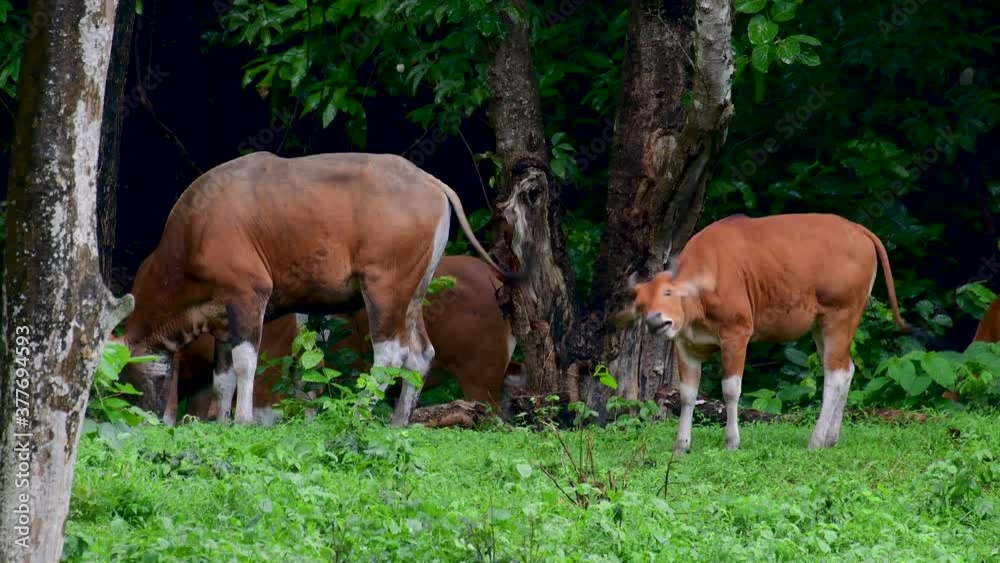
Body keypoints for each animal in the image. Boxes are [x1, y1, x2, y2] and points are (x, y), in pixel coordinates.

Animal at [612, 214, 911, 452]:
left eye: (668, 292)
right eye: (640, 303)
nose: (656, 322)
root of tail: (859, 230)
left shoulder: (736, 335)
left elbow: (731, 390)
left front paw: (732, 441)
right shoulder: (687, 346)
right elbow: (687, 394)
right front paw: (682, 444)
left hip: (840, 316)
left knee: (835, 375)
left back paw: (815, 440)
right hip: (821, 325)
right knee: (846, 370)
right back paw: (831, 438)